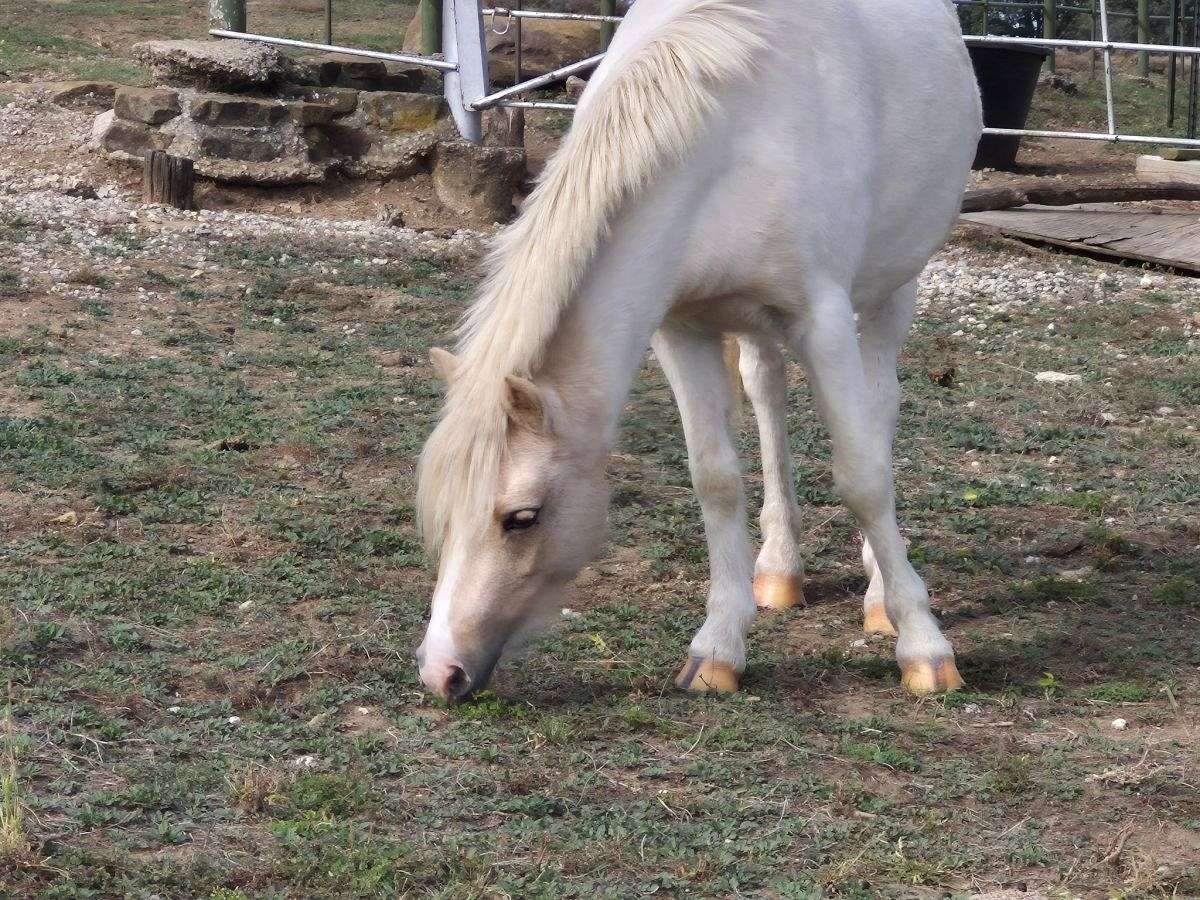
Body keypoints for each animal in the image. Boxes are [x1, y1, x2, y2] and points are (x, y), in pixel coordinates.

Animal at [415, 0, 983, 701]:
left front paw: (924, 648)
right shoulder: (681, 329)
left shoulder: (822, 319)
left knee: (880, 406)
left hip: (891, 288)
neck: (732, 138)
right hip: (754, 324)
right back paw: (779, 570)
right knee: (767, 392)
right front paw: (718, 648)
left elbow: (863, 477)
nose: (441, 671)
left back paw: (880, 594)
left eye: (522, 517)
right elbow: (715, 480)